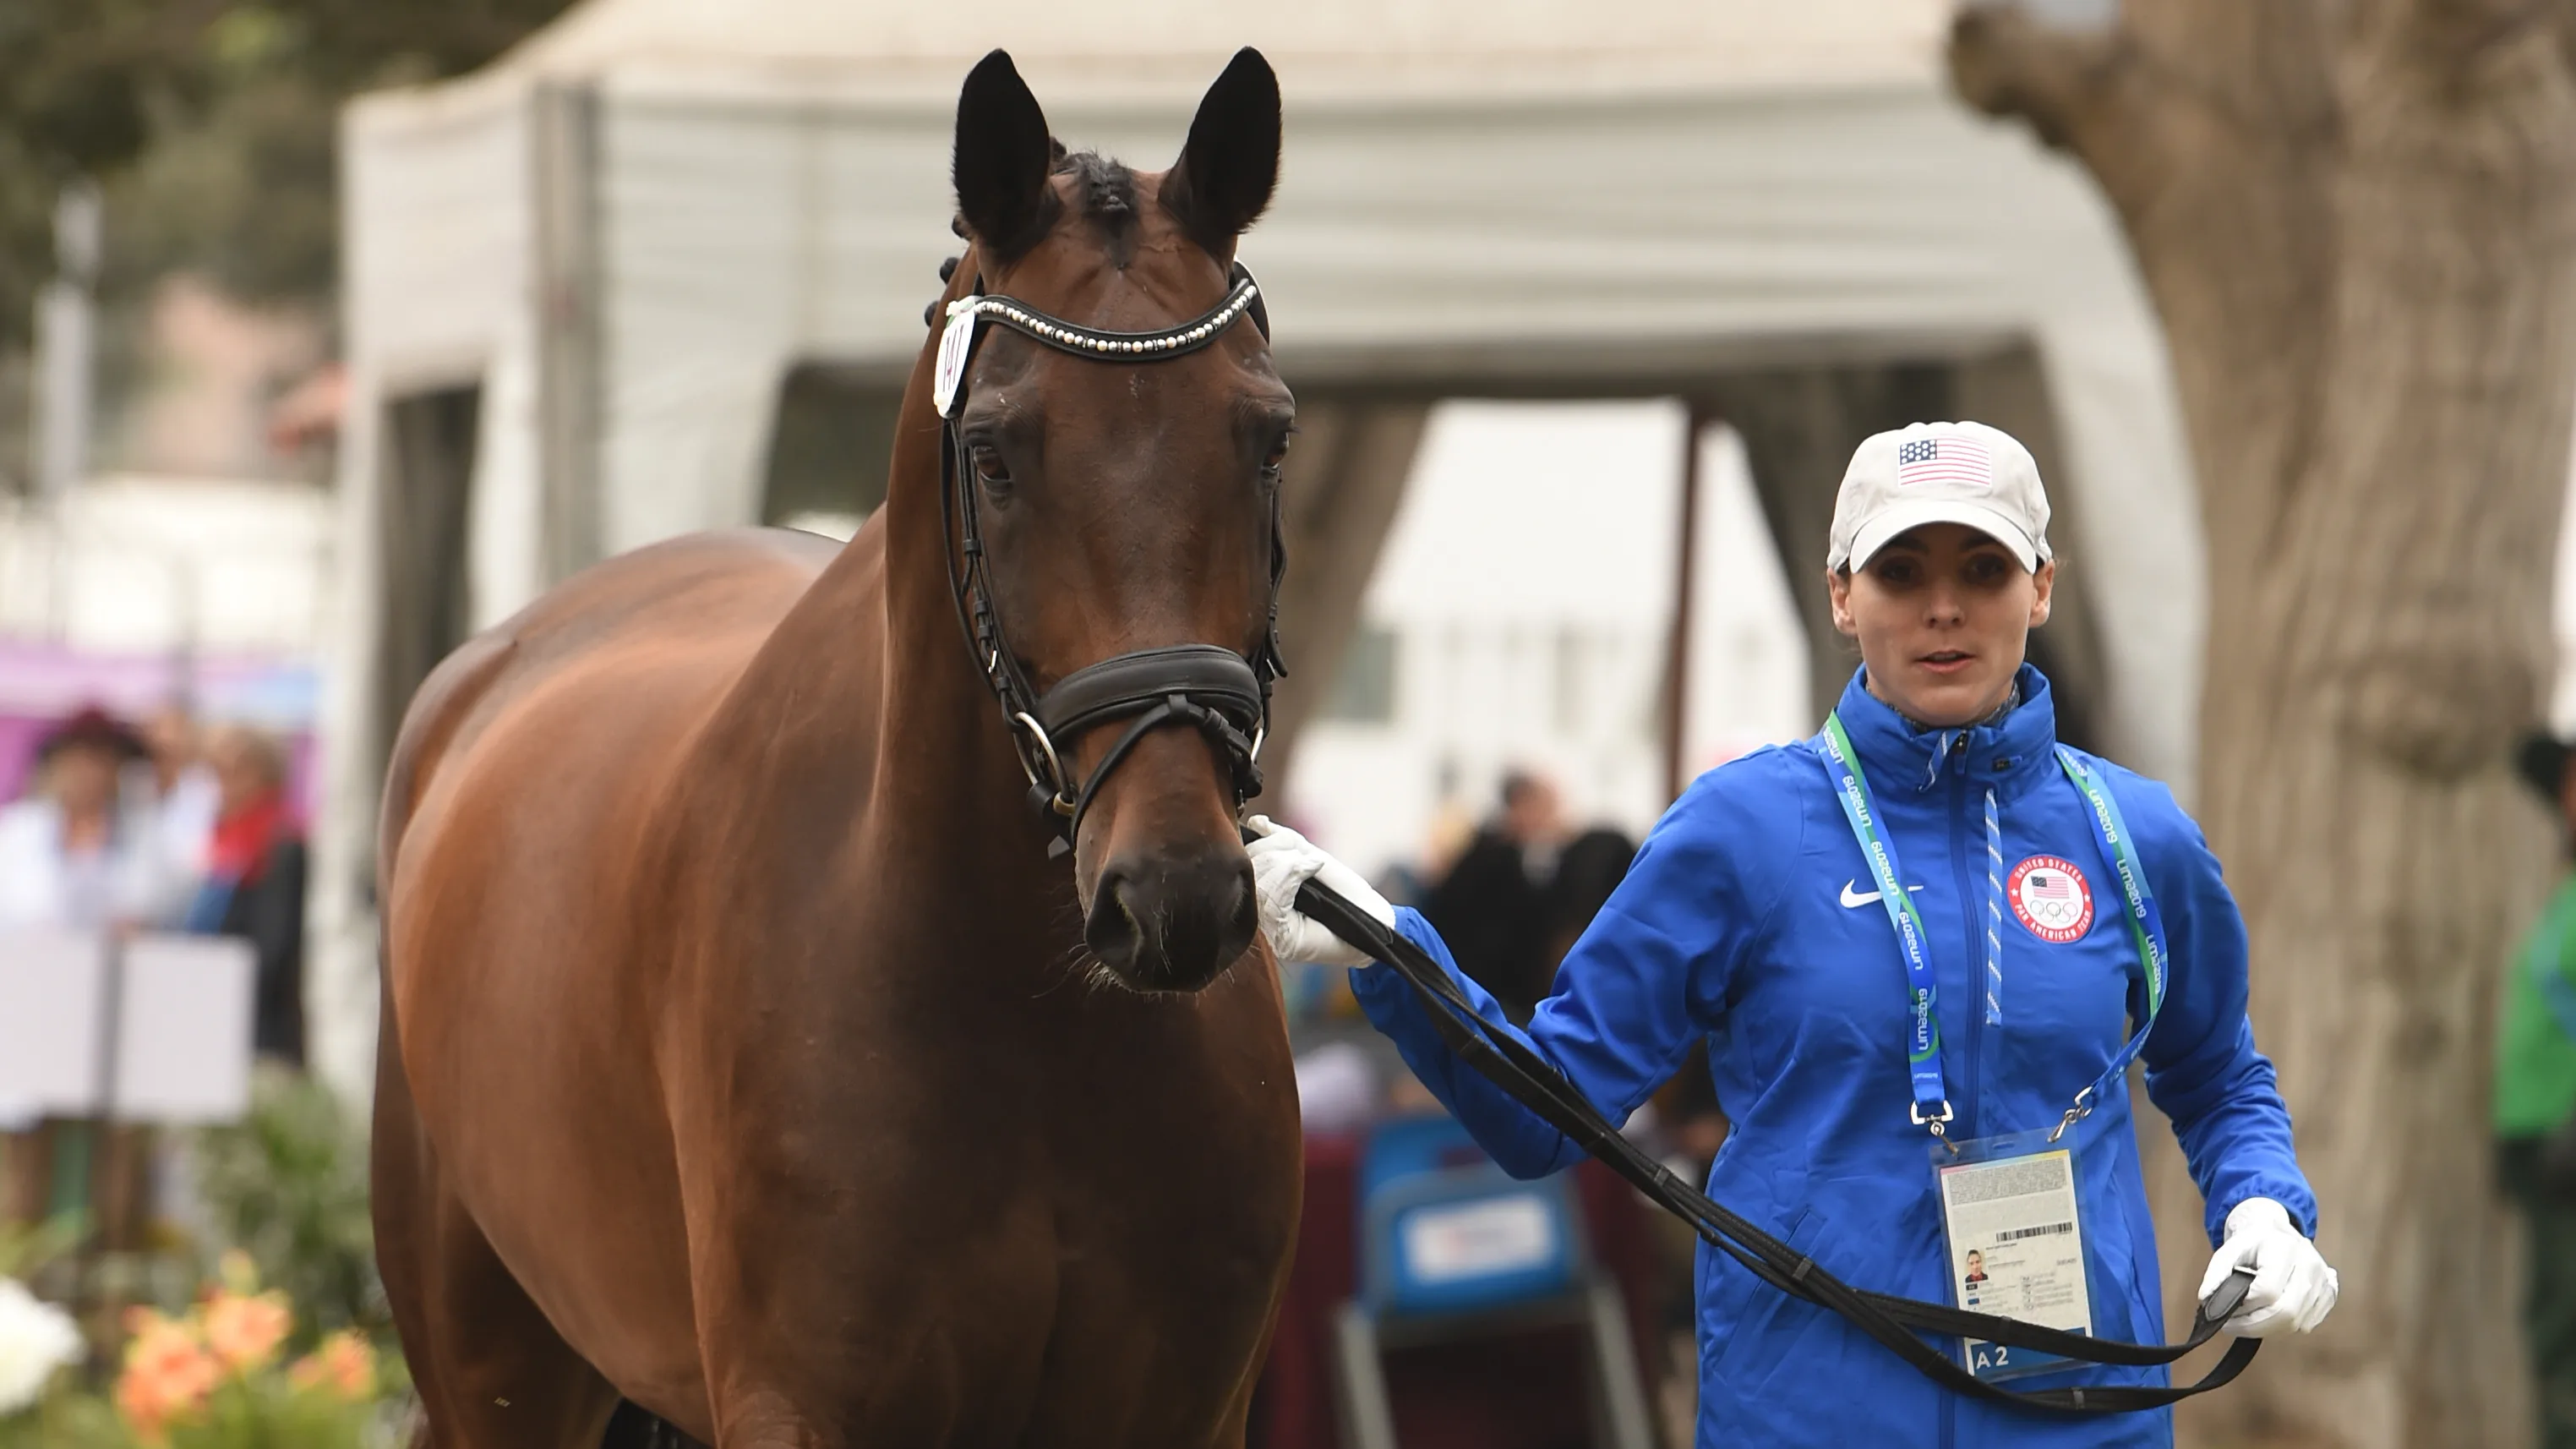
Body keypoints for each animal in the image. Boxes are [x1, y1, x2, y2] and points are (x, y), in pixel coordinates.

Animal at [371, 48, 1304, 1447]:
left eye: (1269, 434)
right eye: (994, 452)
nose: (1176, 898)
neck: (1021, 1019)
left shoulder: (1181, 1412)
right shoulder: (800, 1402)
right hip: (498, 1374)